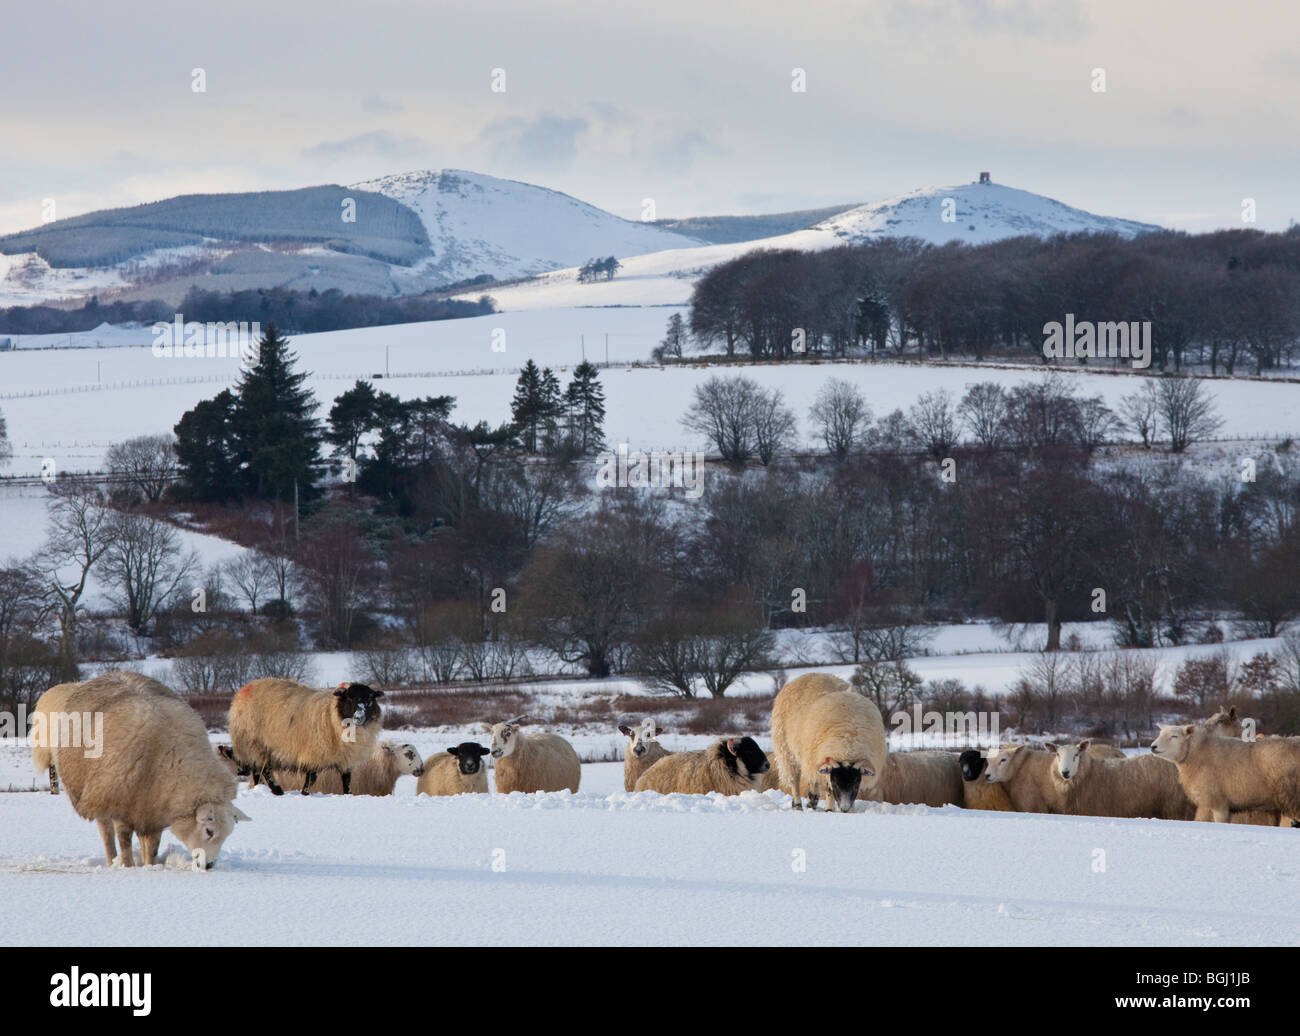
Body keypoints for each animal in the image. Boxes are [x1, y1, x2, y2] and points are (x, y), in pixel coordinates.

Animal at [51, 670, 250, 868]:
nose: (209, 865)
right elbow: (124, 840)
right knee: (106, 833)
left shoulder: (157, 809)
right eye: (209, 831)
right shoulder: (120, 804)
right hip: (99, 796)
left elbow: (153, 844)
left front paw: (151, 866)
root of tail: (114, 672)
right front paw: (127, 866)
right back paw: (111, 860)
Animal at [228, 678, 384, 795]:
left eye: (370, 700)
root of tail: (241, 692)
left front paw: (348, 795)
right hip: (255, 744)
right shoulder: (313, 755)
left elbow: (347, 782)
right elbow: (311, 780)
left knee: (257, 771)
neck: (331, 713)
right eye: (350, 698)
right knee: (265, 770)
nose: (359, 717)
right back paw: (278, 791)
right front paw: (304, 794)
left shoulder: (346, 759)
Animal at [771, 672, 886, 812]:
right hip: (787, 751)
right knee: (795, 780)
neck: (847, 746)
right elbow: (829, 789)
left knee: (812, 779)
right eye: (836, 783)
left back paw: (812, 802)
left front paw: (851, 811)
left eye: (855, 784)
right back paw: (798, 805)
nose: (844, 809)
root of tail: (806, 675)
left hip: (810, 755)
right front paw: (829, 809)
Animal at [1151, 724, 1300, 823]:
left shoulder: (1218, 803)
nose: (1153, 746)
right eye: (1160, 734)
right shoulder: (1209, 804)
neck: (1197, 753)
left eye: (1174, 736)